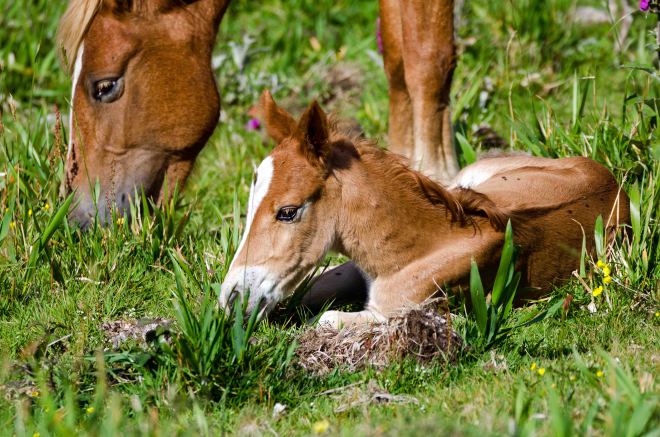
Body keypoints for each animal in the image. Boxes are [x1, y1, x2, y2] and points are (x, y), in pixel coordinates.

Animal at [219, 93, 630, 327]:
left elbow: (327, 321)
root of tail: (611, 178)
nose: (232, 298)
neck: (421, 247)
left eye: (288, 211)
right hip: (471, 178)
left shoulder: (397, 311)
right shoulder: (355, 267)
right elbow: (313, 288)